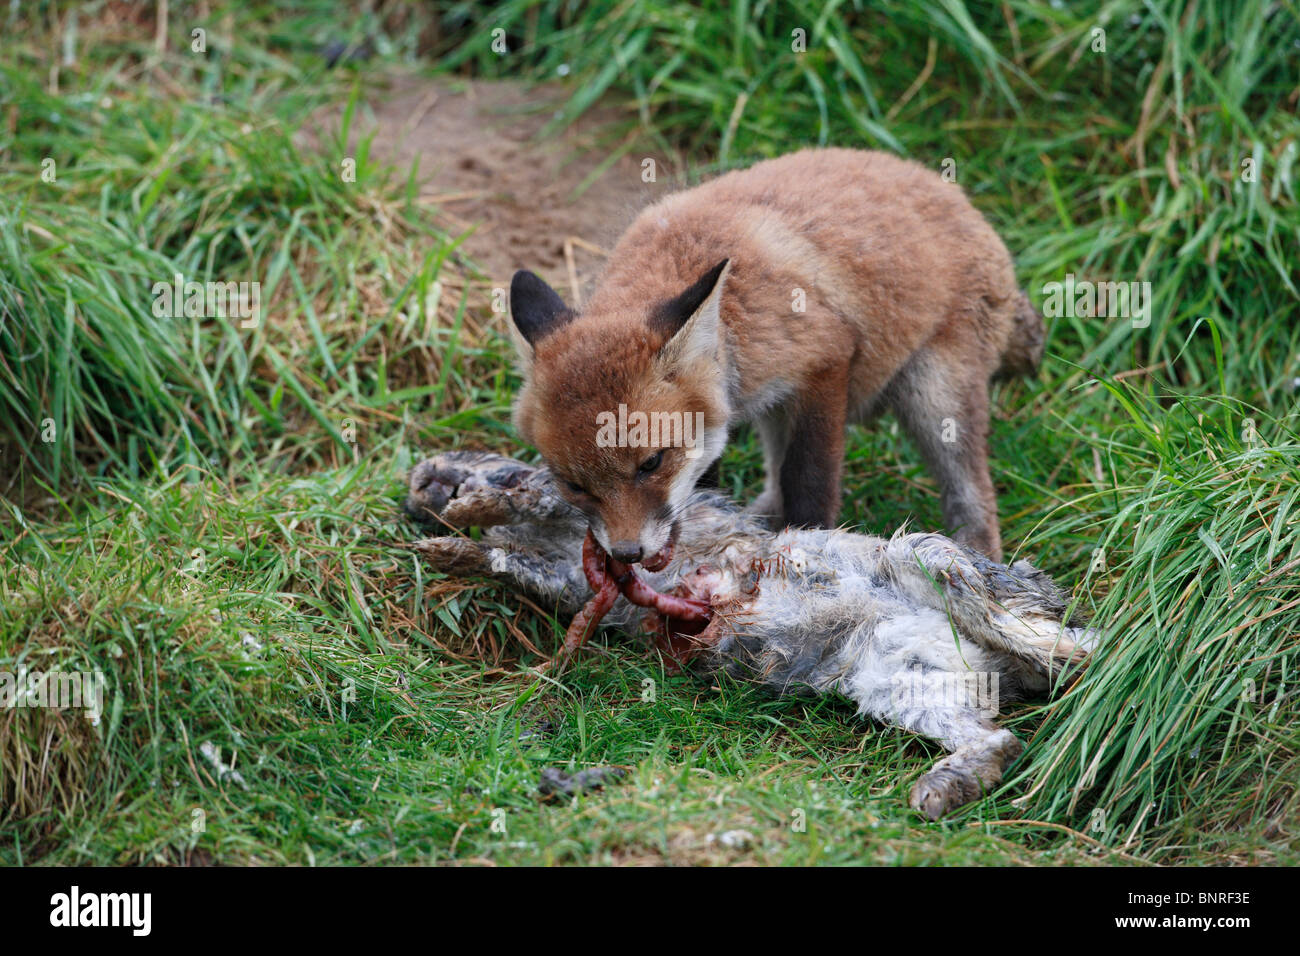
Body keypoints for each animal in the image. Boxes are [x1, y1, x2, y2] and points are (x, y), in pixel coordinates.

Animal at [508, 147, 1043, 565]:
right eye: (573, 485)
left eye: (651, 463)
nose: (625, 555)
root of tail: (960, 199)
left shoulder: (826, 360)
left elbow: (808, 479)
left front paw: (812, 545)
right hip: (777, 409)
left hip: (935, 396)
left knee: (975, 495)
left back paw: (978, 556)